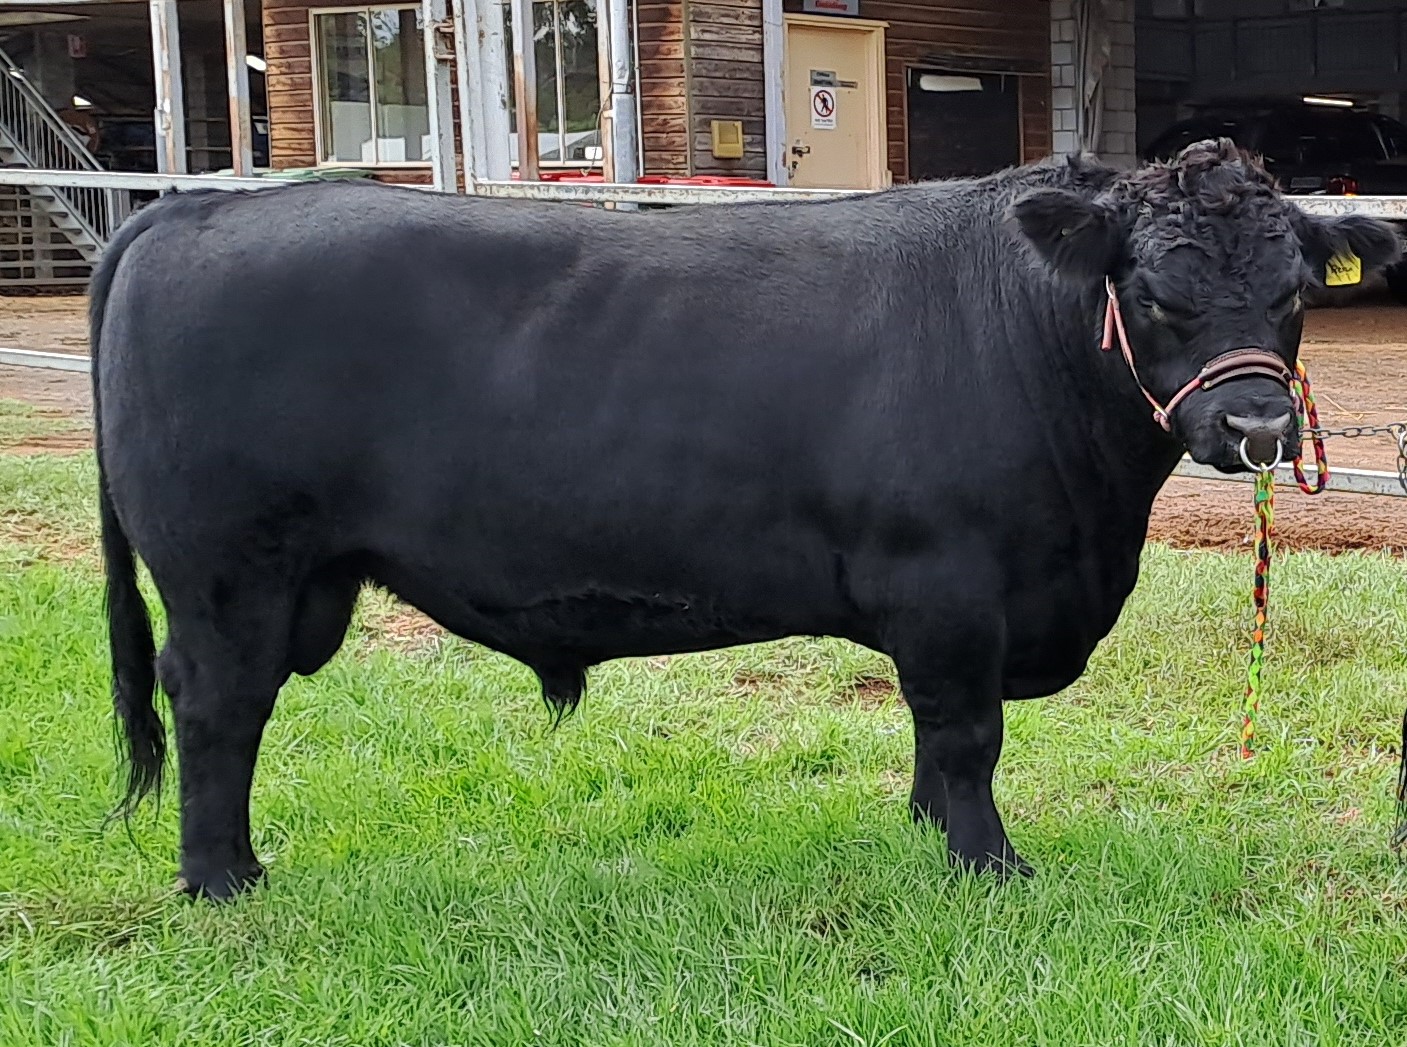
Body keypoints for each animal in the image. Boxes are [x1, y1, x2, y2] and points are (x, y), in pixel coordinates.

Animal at [91, 138, 1399, 899]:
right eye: (1157, 292)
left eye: (1294, 292)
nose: (1257, 426)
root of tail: (184, 214)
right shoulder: (949, 586)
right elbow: (966, 736)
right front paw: (988, 868)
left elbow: (933, 741)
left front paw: (925, 837)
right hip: (227, 573)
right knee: (217, 712)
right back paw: (223, 880)